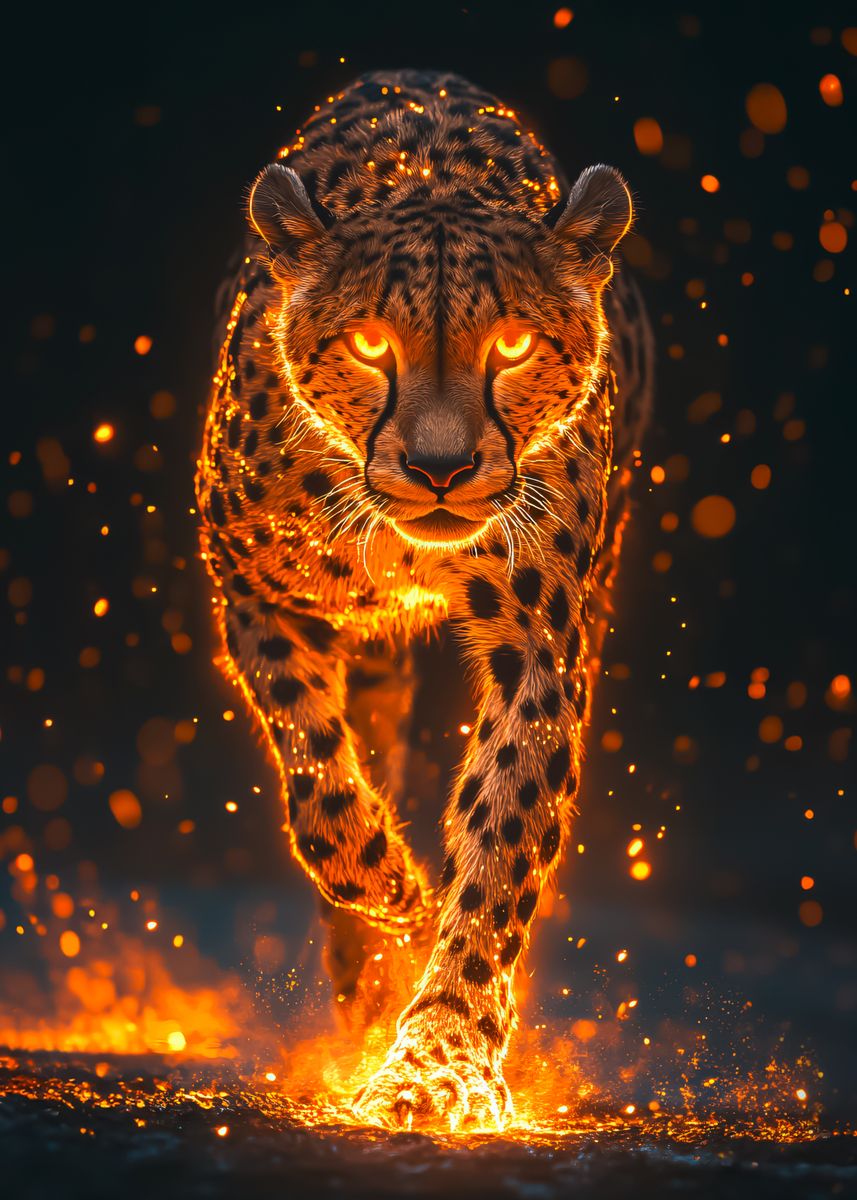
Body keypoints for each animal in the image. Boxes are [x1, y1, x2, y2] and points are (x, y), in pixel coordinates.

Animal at [195, 68, 653, 1132]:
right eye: (369, 342)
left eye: (515, 343)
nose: (440, 468)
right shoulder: (248, 588)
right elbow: (315, 776)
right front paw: (388, 884)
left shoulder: (542, 650)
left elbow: (504, 838)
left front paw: (441, 1058)